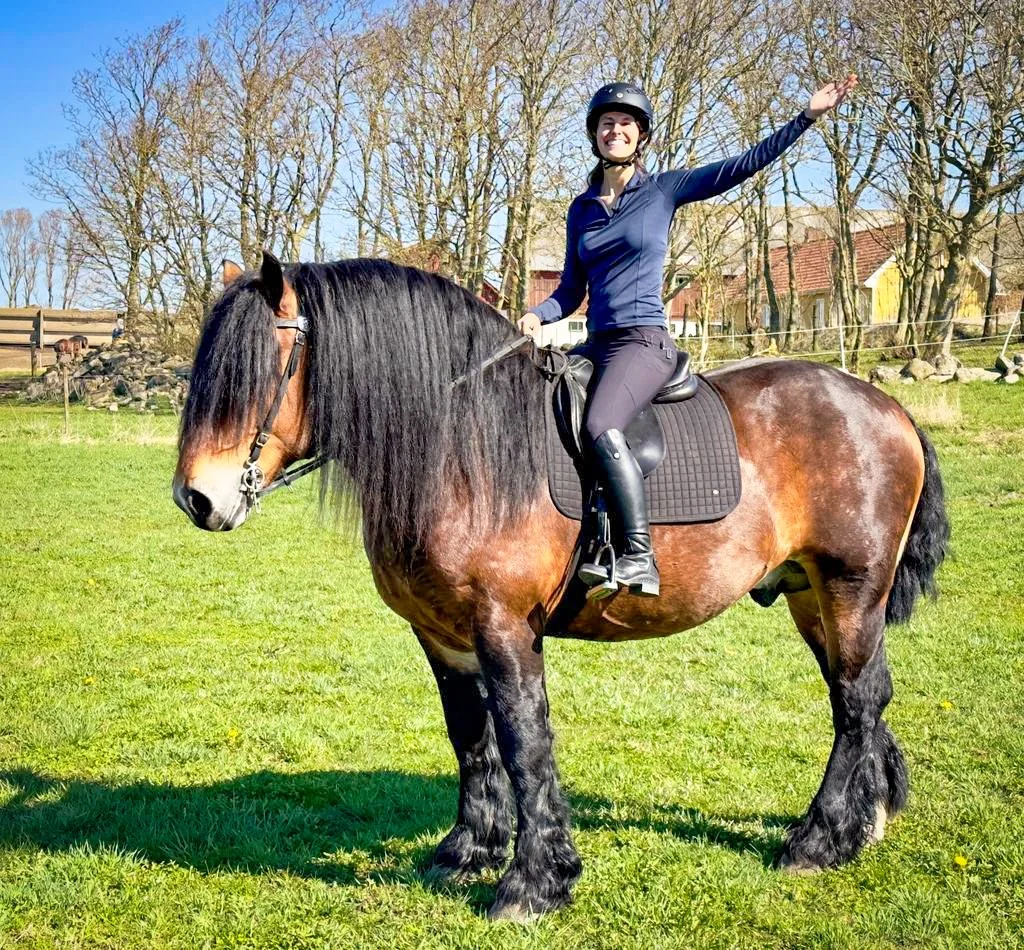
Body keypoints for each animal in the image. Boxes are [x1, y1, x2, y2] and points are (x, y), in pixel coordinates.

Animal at [173, 252, 949, 922]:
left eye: (257, 372)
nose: (196, 499)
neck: (464, 450)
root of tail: (883, 406)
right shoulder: (441, 636)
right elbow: (471, 738)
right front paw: (468, 851)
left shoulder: (505, 628)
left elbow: (524, 742)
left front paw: (535, 882)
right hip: (812, 595)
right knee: (860, 697)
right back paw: (864, 823)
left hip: (850, 587)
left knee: (856, 701)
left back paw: (818, 841)